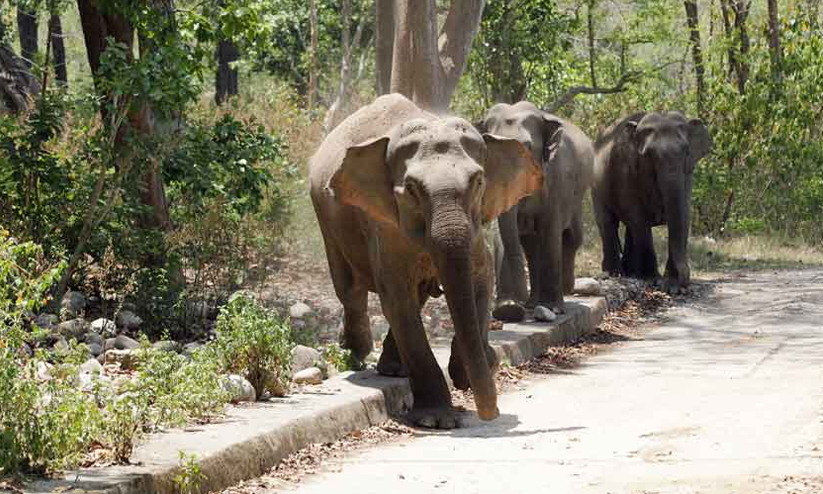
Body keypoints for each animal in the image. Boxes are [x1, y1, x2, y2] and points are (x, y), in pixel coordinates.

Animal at [309, 94, 543, 428]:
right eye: (411, 189)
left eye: (478, 182)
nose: (492, 414)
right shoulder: (384, 224)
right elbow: (397, 298)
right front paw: (437, 419)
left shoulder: (474, 231)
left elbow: (480, 282)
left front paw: (470, 371)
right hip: (326, 215)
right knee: (350, 289)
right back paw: (356, 354)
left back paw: (393, 369)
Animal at [478, 101, 594, 323]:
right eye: (486, 149)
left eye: (528, 147)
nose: (520, 300)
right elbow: (503, 233)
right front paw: (507, 310)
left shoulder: (556, 181)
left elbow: (550, 232)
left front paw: (552, 308)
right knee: (531, 246)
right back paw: (533, 303)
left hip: (577, 198)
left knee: (571, 238)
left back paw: (563, 291)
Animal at [592, 111, 712, 293]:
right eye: (649, 155)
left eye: (686, 151)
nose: (683, 280)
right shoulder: (625, 170)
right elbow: (637, 217)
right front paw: (654, 279)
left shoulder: (687, 174)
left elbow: (684, 215)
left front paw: (671, 286)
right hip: (596, 186)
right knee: (608, 223)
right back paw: (613, 274)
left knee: (629, 229)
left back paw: (631, 273)